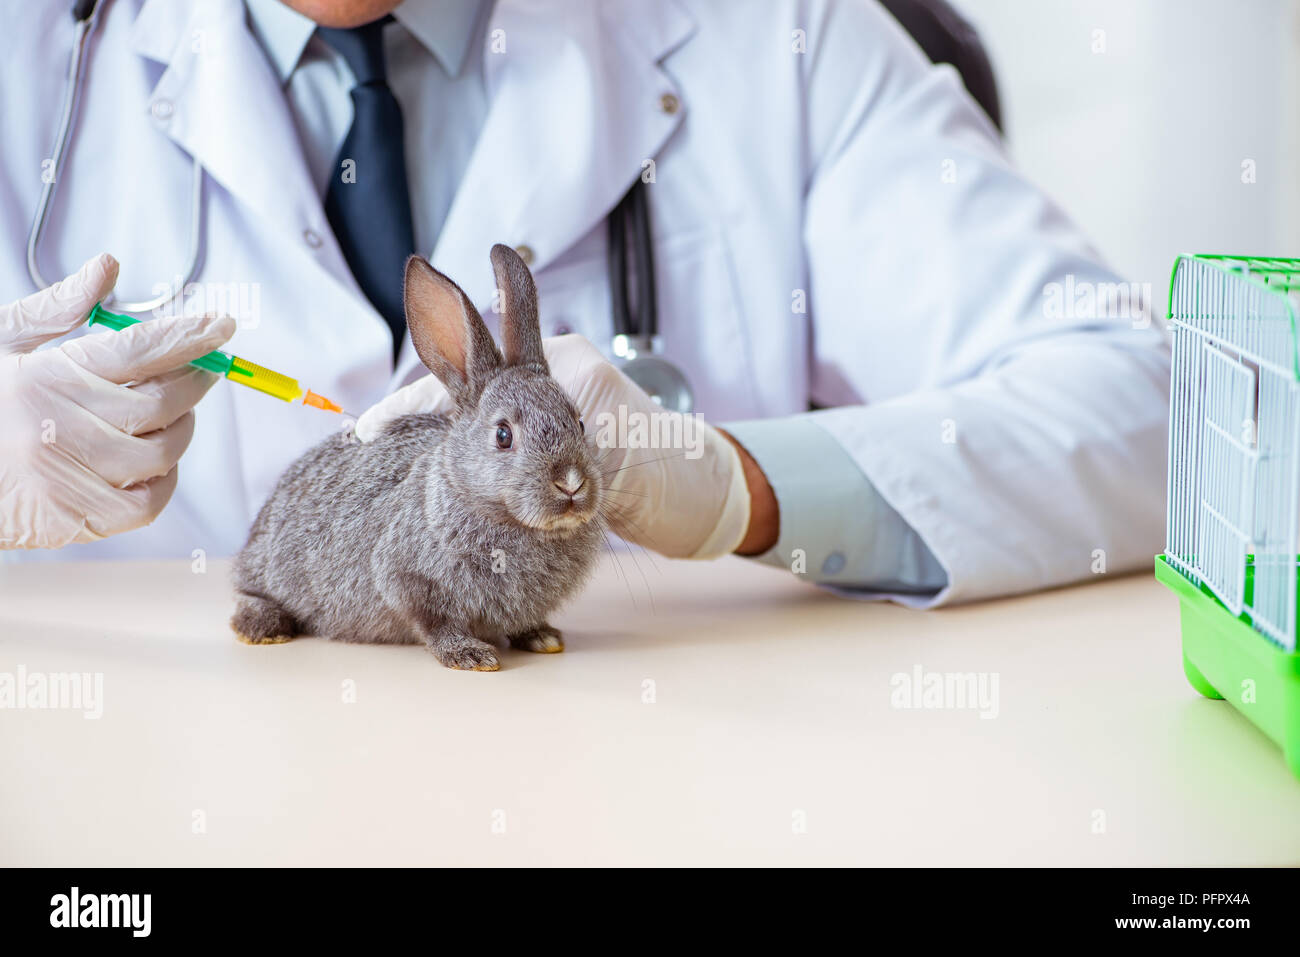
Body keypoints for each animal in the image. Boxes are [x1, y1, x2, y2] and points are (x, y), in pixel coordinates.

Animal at [230, 244, 607, 671]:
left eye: (579, 422)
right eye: (503, 435)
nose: (571, 483)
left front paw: (542, 637)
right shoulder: (405, 578)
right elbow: (432, 621)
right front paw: (470, 655)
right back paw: (264, 627)